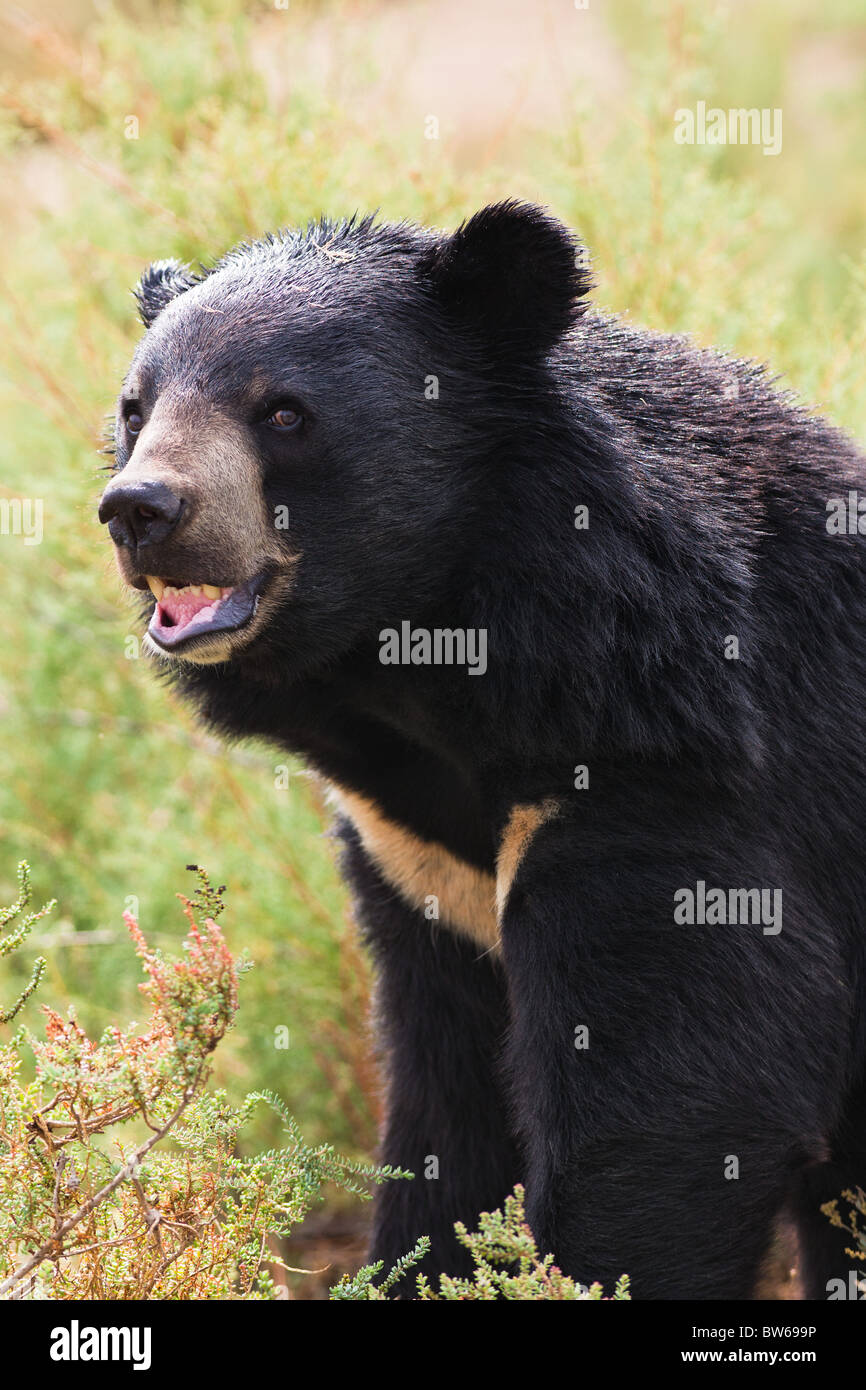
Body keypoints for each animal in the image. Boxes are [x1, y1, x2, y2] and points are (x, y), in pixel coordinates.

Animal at [98, 201, 866, 1300]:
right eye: (135, 408)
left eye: (282, 412)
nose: (141, 510)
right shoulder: (414, 856)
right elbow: (449, 1113)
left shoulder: (678, 778)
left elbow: (682, 1101)